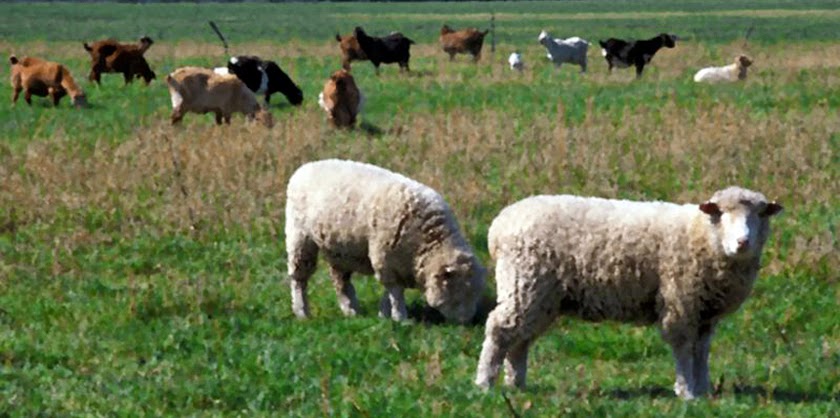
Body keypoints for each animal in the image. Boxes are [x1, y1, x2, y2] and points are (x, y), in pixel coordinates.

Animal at [285, 159, 486, 324]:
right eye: (458, 294)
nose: (466, 324)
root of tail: (305, 167)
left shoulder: (397, 263)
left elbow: (390, 292)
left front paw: (384, 314)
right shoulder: (385, 258)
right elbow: (395, 292)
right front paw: (400, 318)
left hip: (338, 248)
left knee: (340, 280)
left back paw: (351, 310)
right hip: (300, 237)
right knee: (299, 278)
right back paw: (302, 312)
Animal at [474, 187, 783, 400]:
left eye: (759, 215)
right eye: (721, 213)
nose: (742, 242)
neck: (702, 235)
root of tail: (500, 225)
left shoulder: (705, 312)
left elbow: (702, 350)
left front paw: (704, 389)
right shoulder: (680, 302)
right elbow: (684, 348)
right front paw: (687, 392)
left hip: (540, 297)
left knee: (521, 339)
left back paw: (516, 384)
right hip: (525, 282)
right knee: (500, 329)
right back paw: (484, 383)